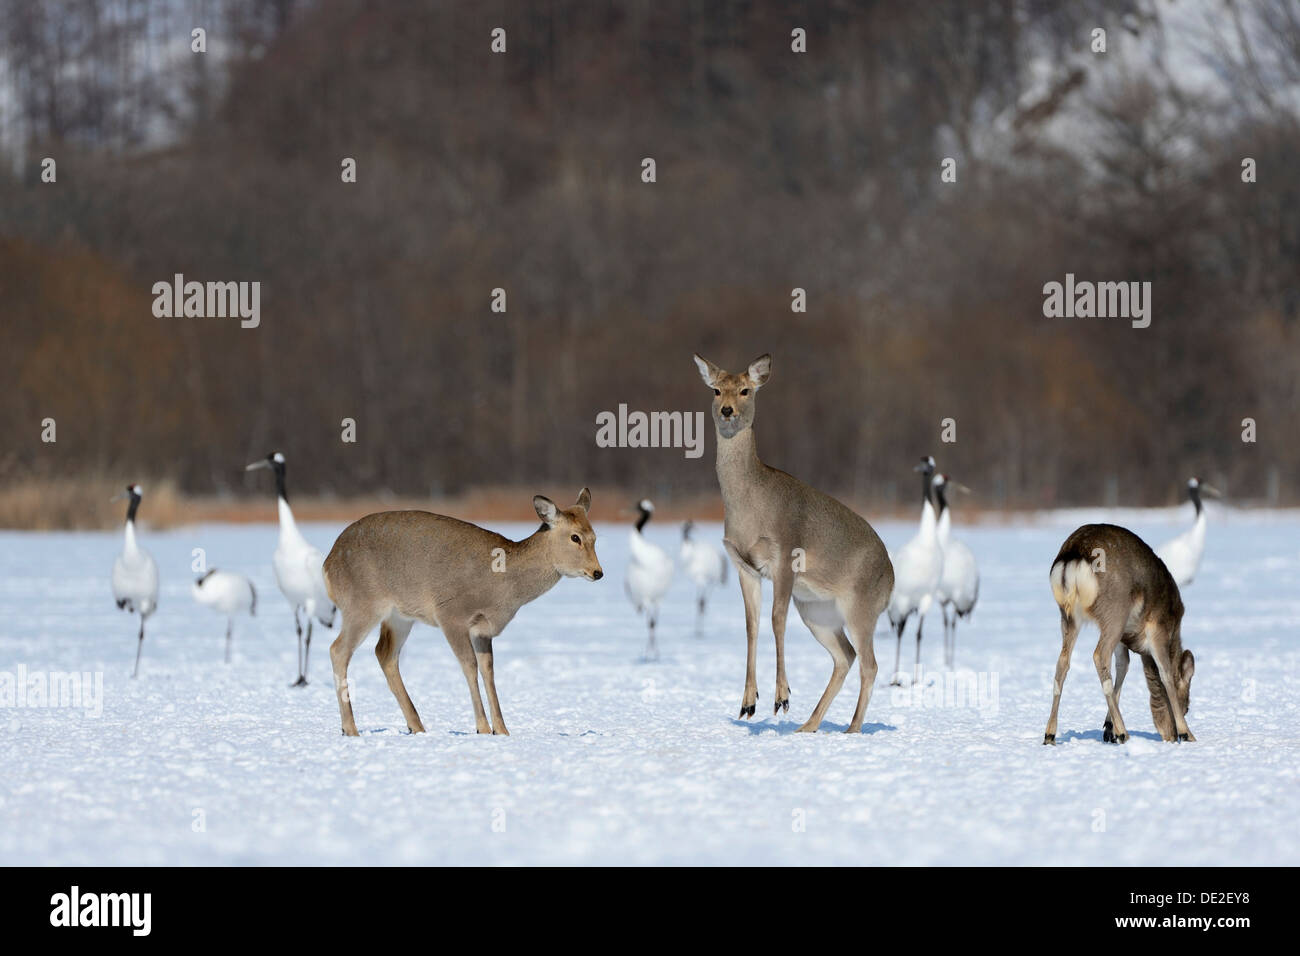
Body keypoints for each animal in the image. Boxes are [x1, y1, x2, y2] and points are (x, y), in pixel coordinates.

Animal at [322, 489, 603, 737]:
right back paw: (351, 729)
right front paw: (482, 727)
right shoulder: (451, 614)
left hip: (399, 616)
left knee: (384, 653)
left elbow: (488, 669)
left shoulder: (483, 628)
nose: (598, 572)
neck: (504, 588)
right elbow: (469, 665)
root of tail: (328, 563)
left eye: (594, 537)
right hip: (362, 603)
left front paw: (502, 729)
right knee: (338, 650)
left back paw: (416, 726)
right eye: (575, 537)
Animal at [693, 353, 895, 733]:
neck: (749, 504)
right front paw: (748, 702)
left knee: (870, 662)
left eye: (745, 389)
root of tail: (892, 580)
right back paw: (809, 726)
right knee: (845, 656)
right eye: (715, 389)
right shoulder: (745, 566)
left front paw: (781, 697)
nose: (727, 410)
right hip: (817, 611)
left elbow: (776, 619)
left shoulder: (785, 554)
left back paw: (852, 728)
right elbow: (752, 625)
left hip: (861, 607)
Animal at [1044, 523, 1196, 745]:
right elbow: (1166, 674)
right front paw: (1188, 734)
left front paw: (1109, 728)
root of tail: (1073, 556)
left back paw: (1049, 734)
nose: (1171, 736)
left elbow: (1123, 667)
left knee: (1062, 662)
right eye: (1187, 707)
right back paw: (1124, 732)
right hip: (1115, 610)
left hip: (1069, 616)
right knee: (1099, 655)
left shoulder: (1123, 639)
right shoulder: (1158, 628)